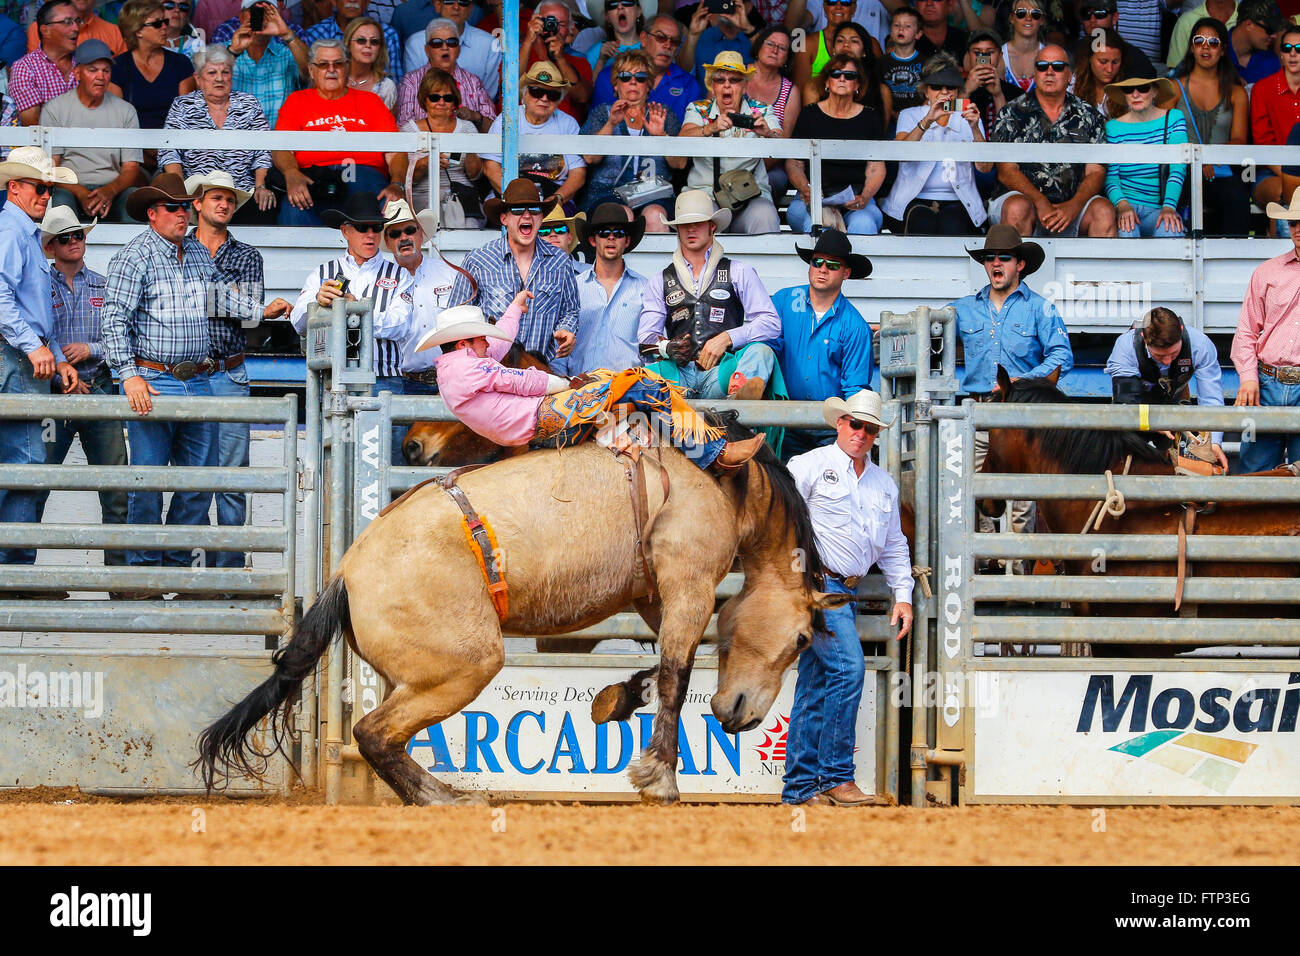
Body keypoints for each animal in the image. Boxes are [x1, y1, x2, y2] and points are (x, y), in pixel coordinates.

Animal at [195, 413, 849, 805]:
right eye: (799, 640)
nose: (744, 719)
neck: (728, 484)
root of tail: (346, 574)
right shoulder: (687, 582)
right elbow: (676, 675)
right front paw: (660, 778)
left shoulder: (653, 593)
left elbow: (664, 662)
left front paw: (616, 701)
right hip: (466, 665)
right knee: (371, 733)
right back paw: (445, 798)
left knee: (381, 736)